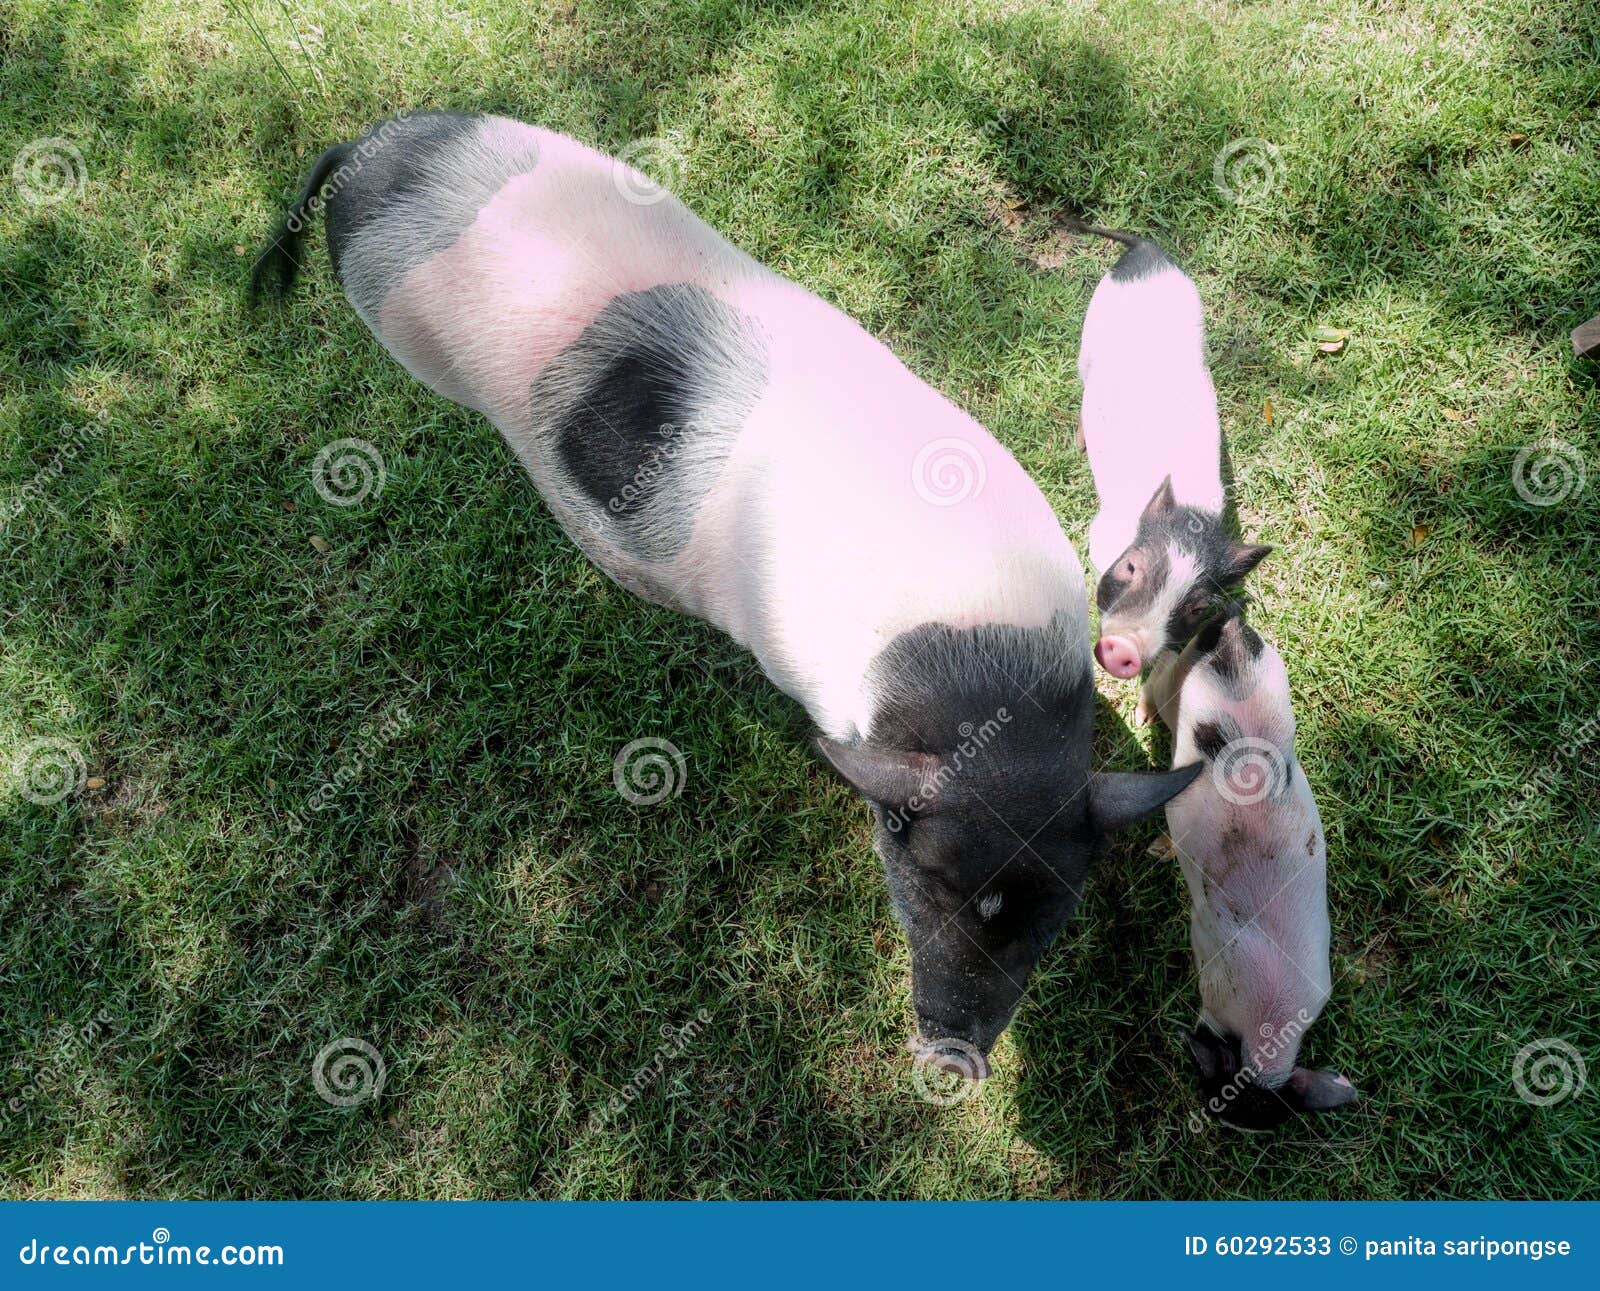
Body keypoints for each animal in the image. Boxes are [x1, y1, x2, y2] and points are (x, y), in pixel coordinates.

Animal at [1071, 225, 1271, 682]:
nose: (1125, 648)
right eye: (1131, 567)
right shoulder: (1099, 532)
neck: (1191, 514)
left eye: (1196, 608)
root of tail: (1148, 250)